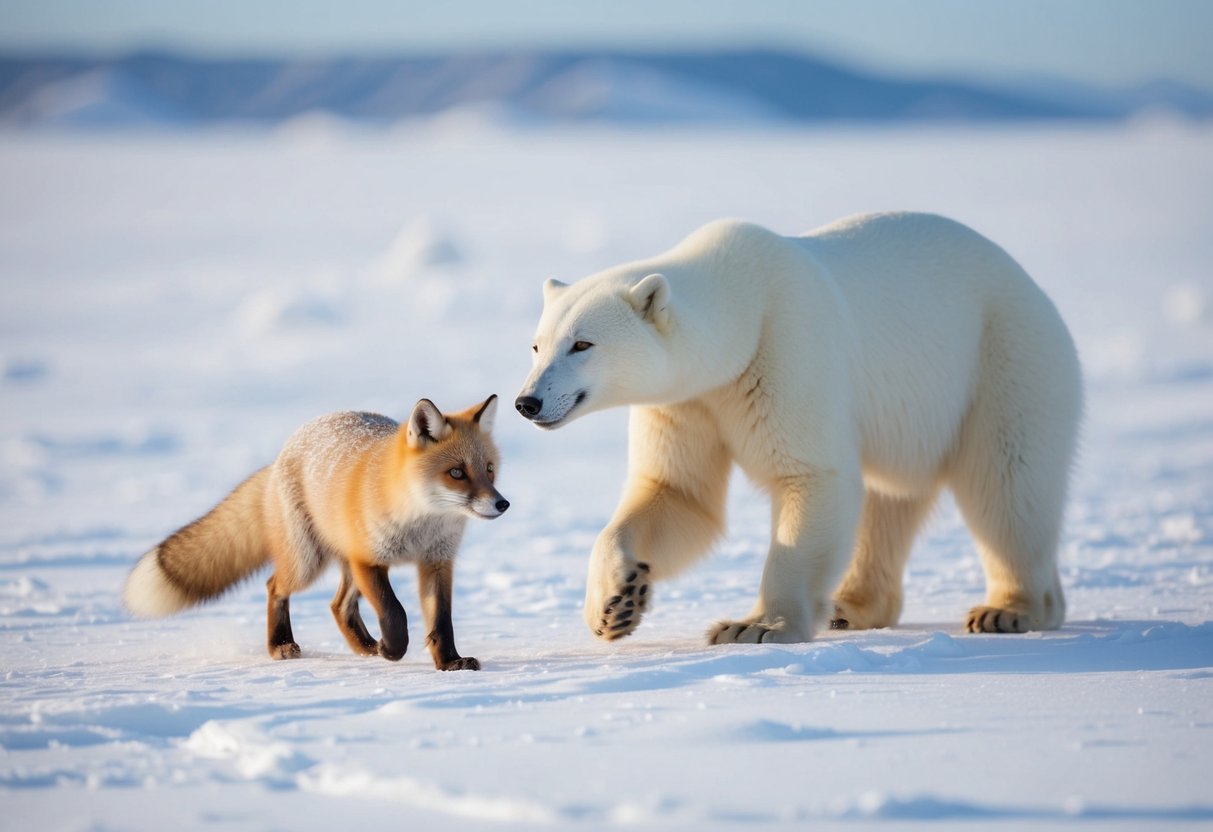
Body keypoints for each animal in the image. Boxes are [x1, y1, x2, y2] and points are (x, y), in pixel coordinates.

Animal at [122, 395, 507, 670]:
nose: (502, 503)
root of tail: (281, 455)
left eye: (489, 470)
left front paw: (449, 663)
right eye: (456, 473)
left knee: (338, 605)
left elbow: (441, 622)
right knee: (274, 586)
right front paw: (394, 649)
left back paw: (364, 647)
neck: (420, 524)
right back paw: (280, 645)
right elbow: (394, 612)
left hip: (341, 564)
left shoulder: (436, 562)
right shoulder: (368, 560)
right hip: (308, 562)